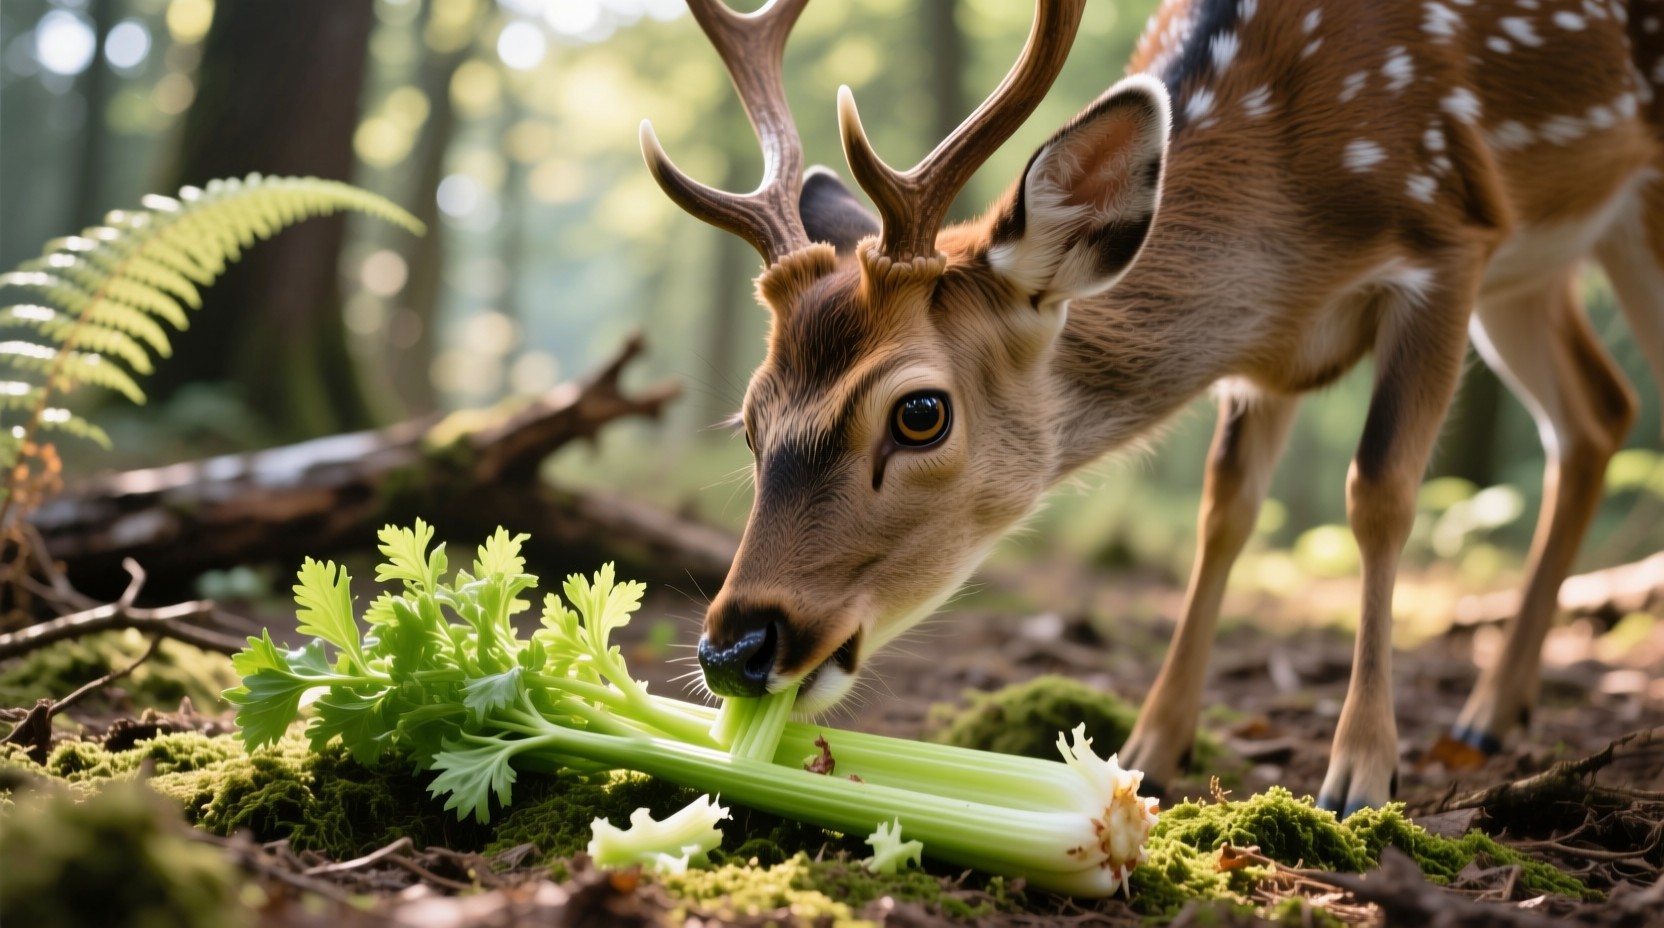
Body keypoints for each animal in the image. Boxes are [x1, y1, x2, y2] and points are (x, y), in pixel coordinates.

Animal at [639, 0, 1662, 816]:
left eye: (920, 411)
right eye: (750, 421)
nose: (733, 649)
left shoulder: (1450, 236)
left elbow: (1379, 492)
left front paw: (1362, 772)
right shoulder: (1267, 354)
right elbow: (1226, 507)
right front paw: (1149, 748)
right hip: (1540, 268)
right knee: (1598, 411)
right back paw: (1492, 713)